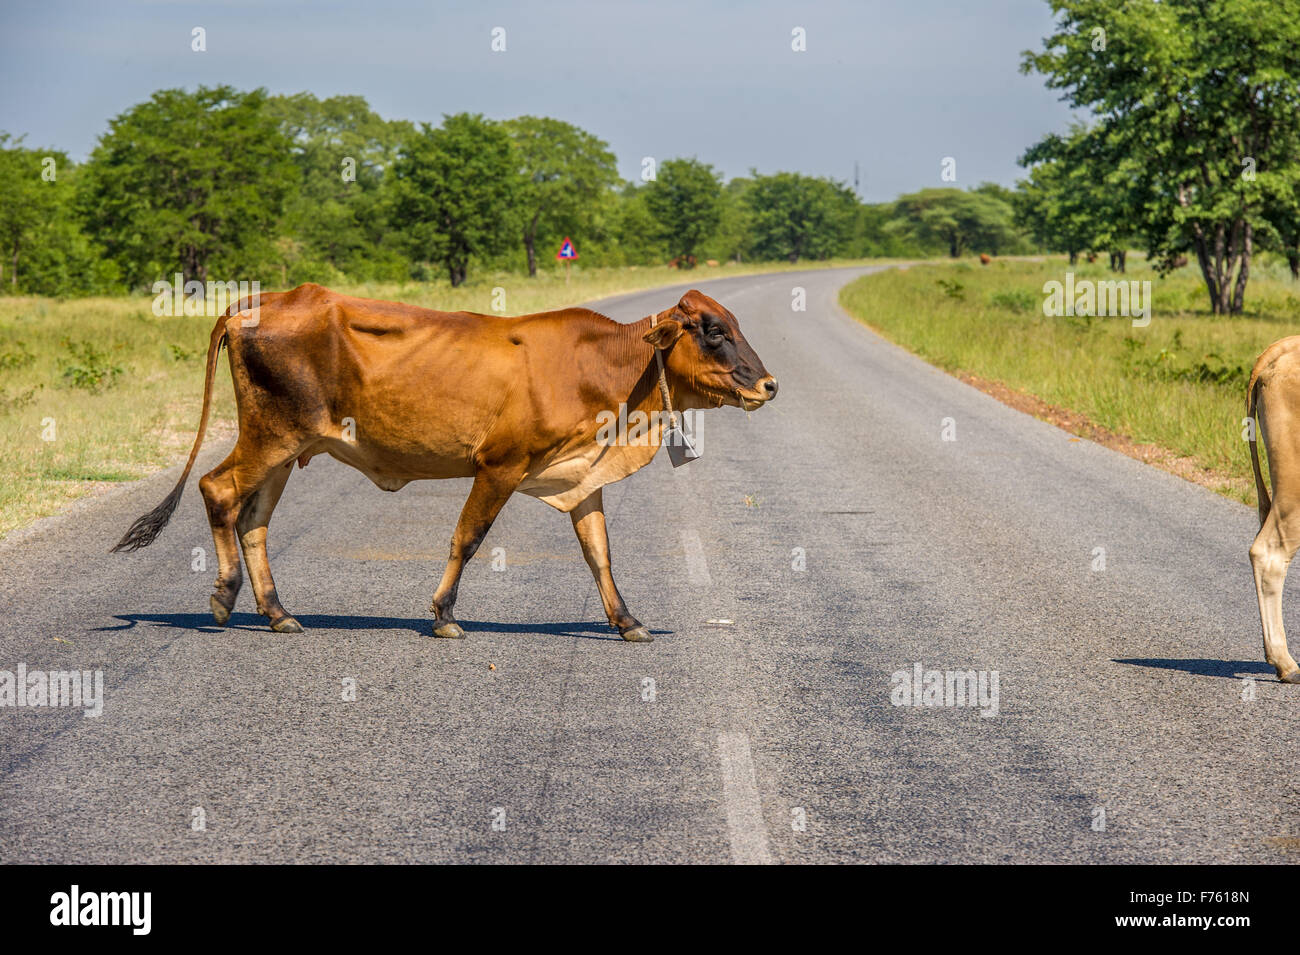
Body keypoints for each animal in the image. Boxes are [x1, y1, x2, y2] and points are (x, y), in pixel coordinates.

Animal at [112, 284, 777, 643]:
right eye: (713, 331)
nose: (768, 385)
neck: (606, 367)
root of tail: (260, 301)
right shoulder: (500, 466)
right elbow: (467, 538)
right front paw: (444, 615)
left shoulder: (581, 475)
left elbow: (599, 552)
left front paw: (628, 620)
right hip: (271, 437)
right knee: (217, 489)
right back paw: (224, 597)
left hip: (287, 449)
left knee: (254, 521)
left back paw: (277, 613)